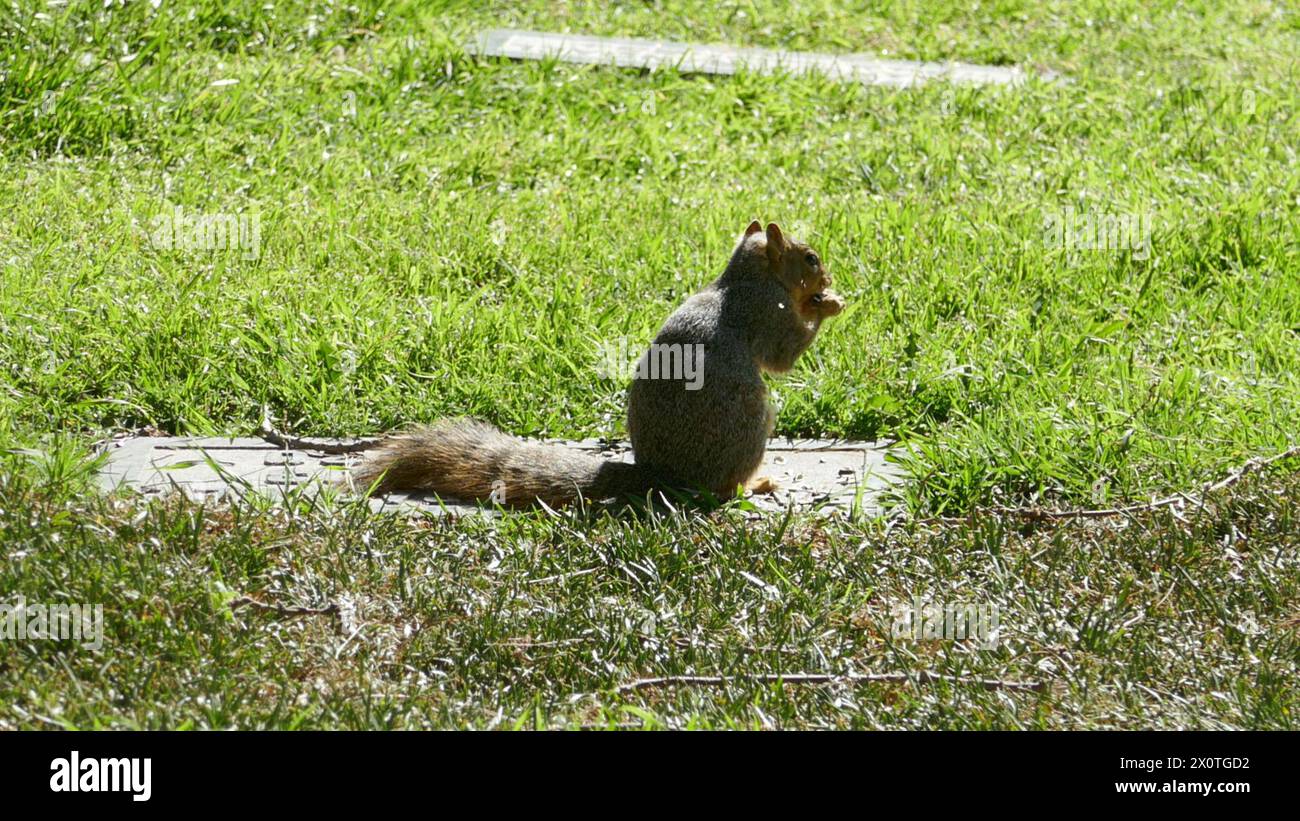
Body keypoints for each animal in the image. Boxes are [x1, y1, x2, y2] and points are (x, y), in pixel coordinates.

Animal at [352, 221, 845, 506]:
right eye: (810, 259)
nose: (828, 278)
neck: (745, 278)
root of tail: (660, 476)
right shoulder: (767, 313)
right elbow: (782, 357)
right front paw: (827, 306)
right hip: (750, 427)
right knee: (723, 488)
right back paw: (755, 484)